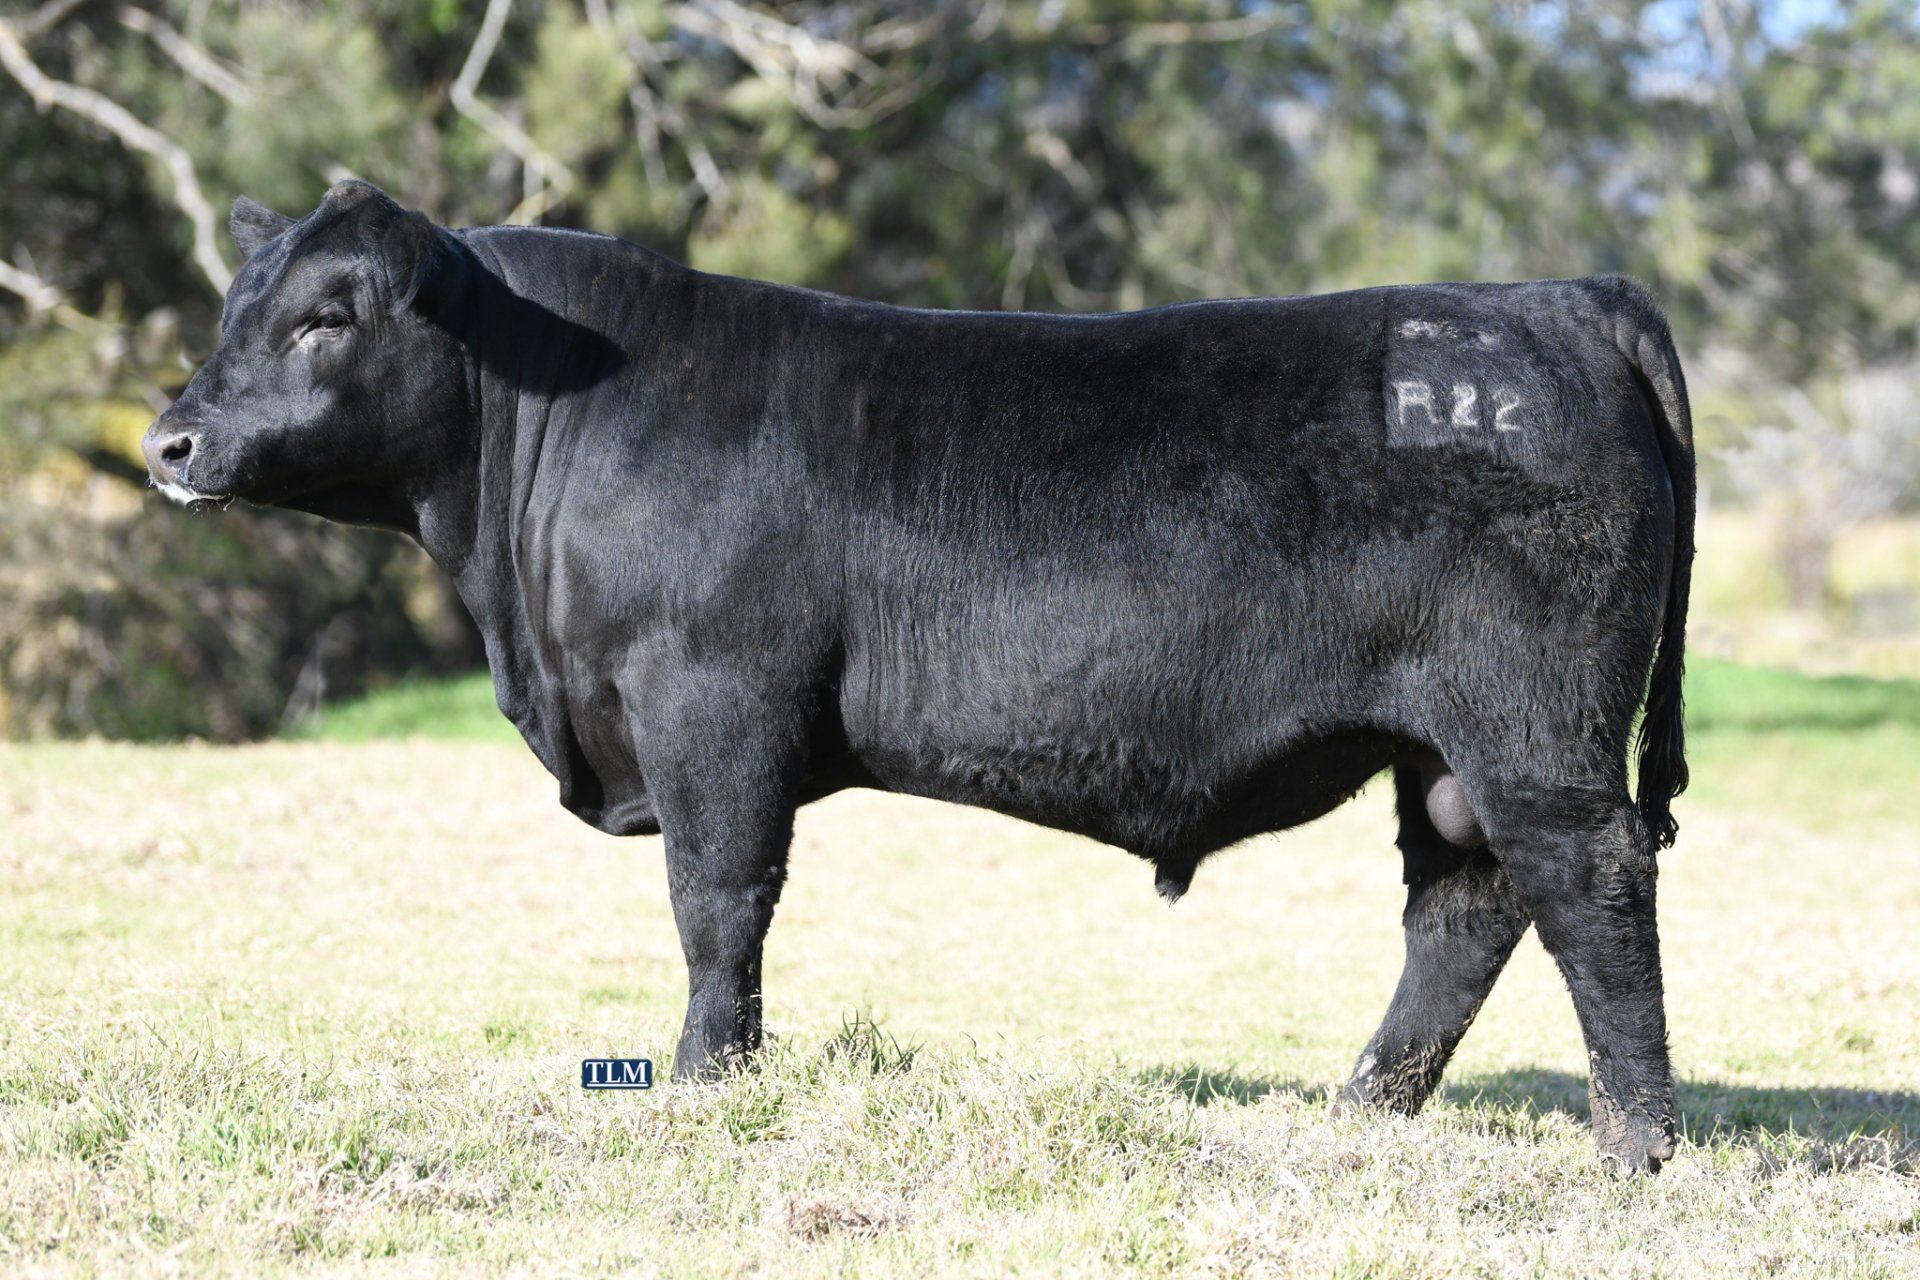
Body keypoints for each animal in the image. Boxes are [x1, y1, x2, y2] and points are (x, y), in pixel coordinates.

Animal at [143, 180, 1694, 1173]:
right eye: (234, 307)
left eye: (328, 315)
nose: (170, 441)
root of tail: (1561, 299)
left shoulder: (711, 701)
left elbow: (718, 899)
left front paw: (706, 1081)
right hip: (1447, 752)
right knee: (1466, 906)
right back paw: (1362, 1108)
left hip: (1532, 727)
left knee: (1589, 878)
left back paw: (1636, 1145)